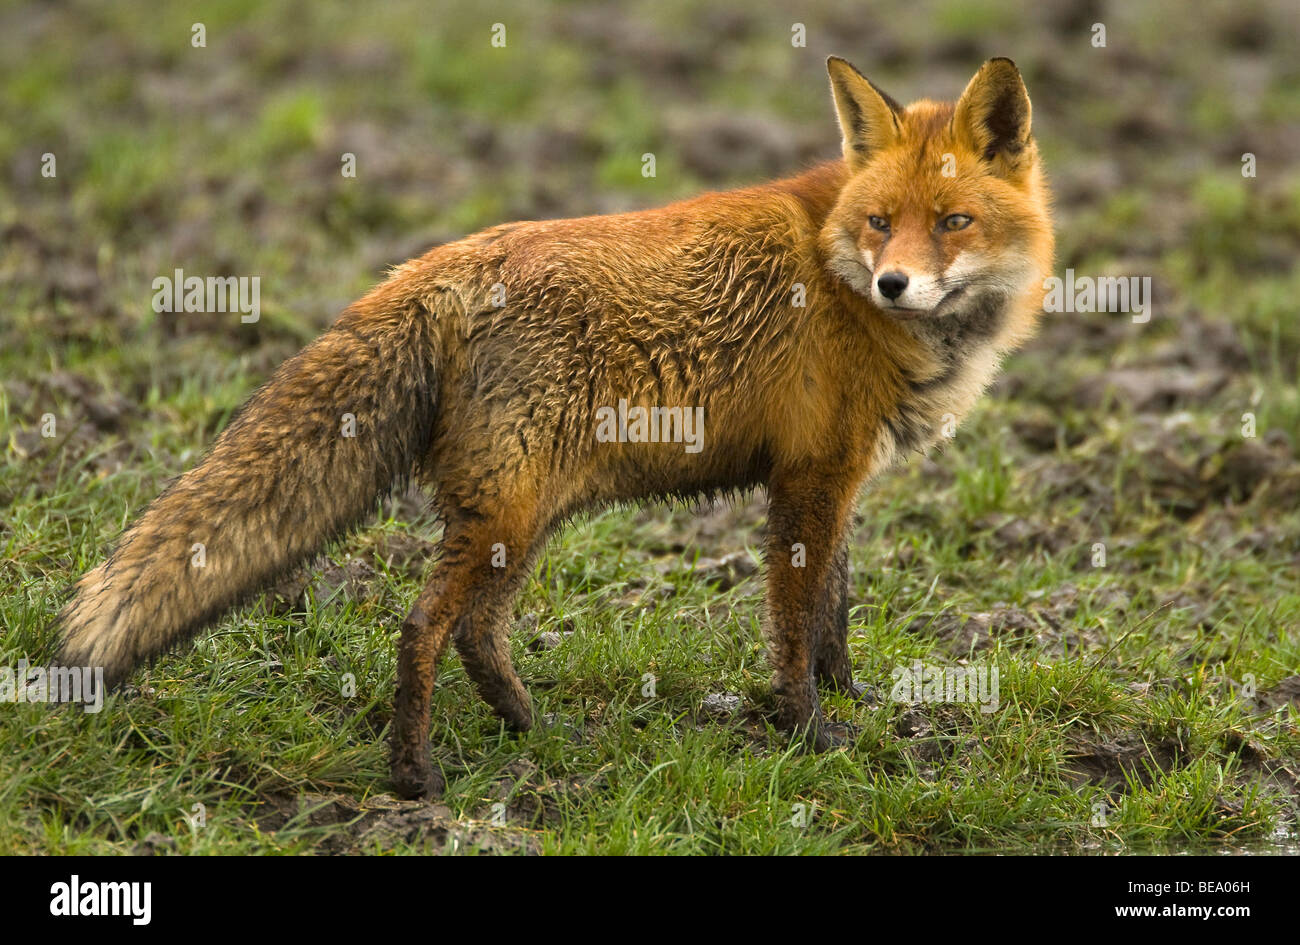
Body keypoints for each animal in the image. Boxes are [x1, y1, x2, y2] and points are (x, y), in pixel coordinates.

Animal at [57, 57, 1053, 798]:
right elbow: (796, 626)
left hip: (526, 514)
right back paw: (414, 778)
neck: (839, 269)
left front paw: (856, 703)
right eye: (881, 222)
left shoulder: (832, 475)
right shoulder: (811, 478)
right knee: (422, 627)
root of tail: (447, 259)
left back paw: (536, 731)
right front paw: (809, 734)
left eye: (953, 221)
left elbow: (833, 616)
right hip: (508, 512)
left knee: (476, 632)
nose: (895, 283)